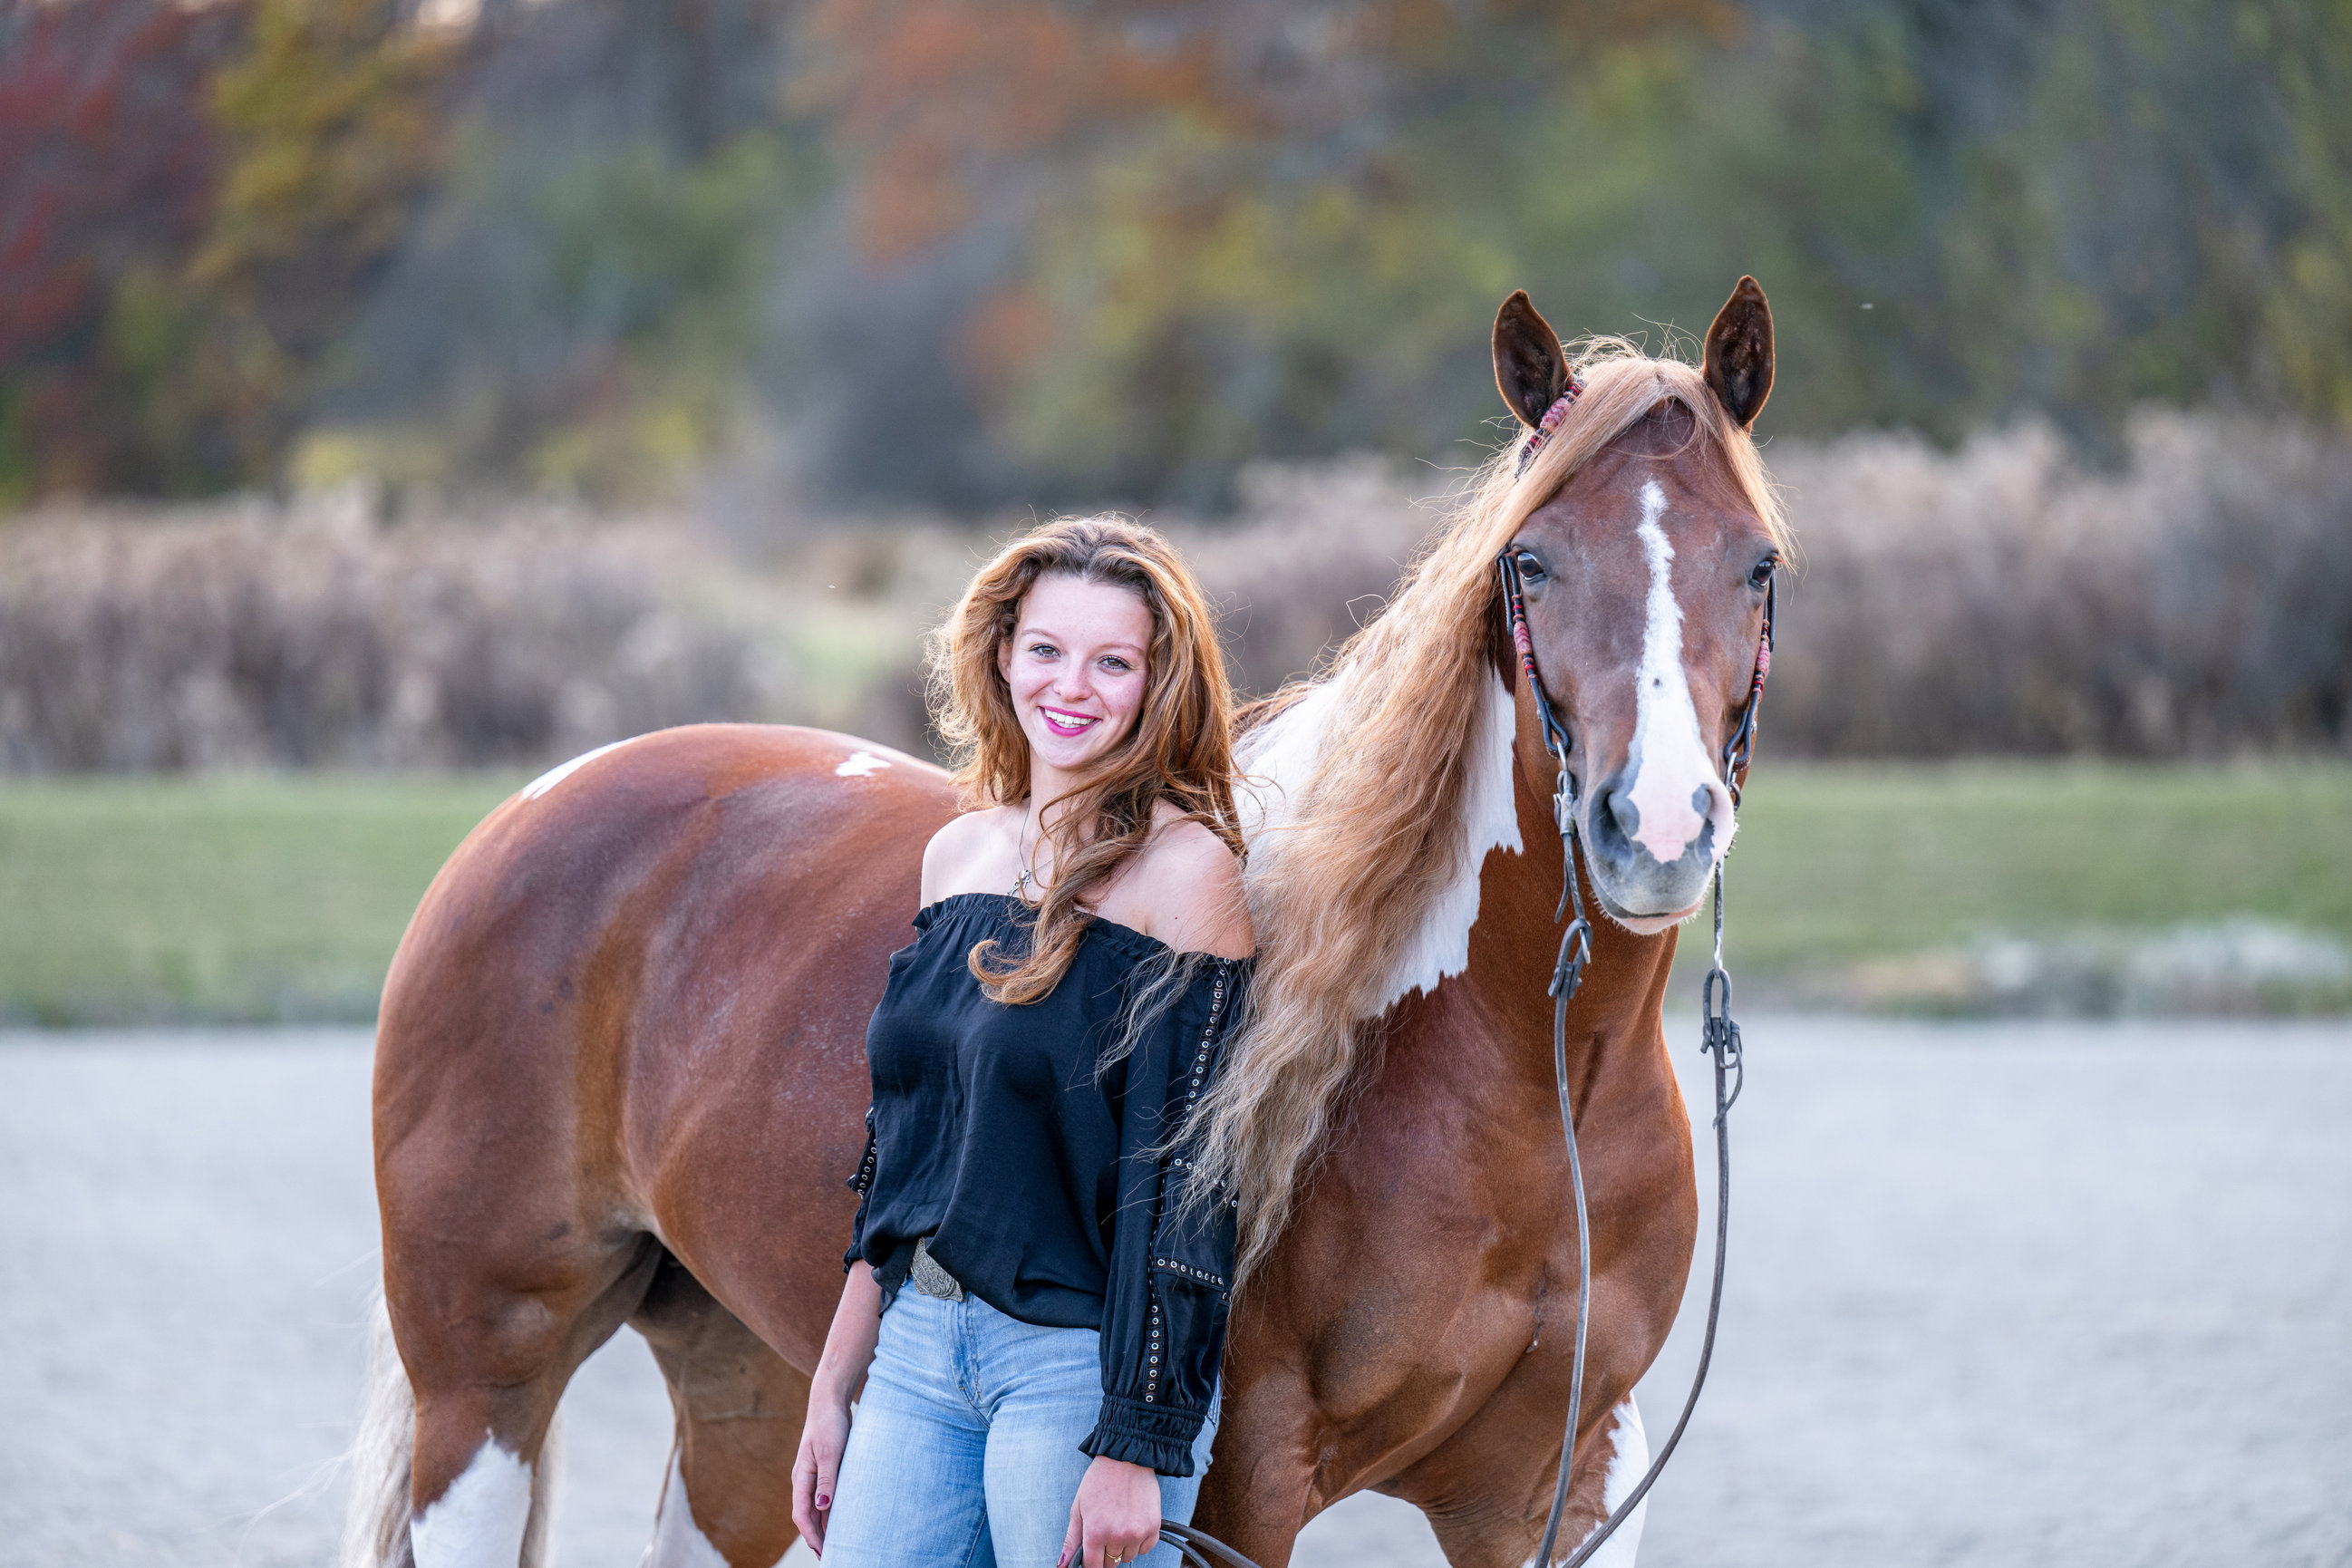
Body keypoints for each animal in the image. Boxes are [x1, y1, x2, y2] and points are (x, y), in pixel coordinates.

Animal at [345, 276, 1787, 1568]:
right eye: (1529, 562)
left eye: (1759, 565)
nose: (1655, 827)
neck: (1520, 1079)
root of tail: (533, 809)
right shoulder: (1237, 1486)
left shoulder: (1561, 1480)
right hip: (483, 1383)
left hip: (743, 1381)